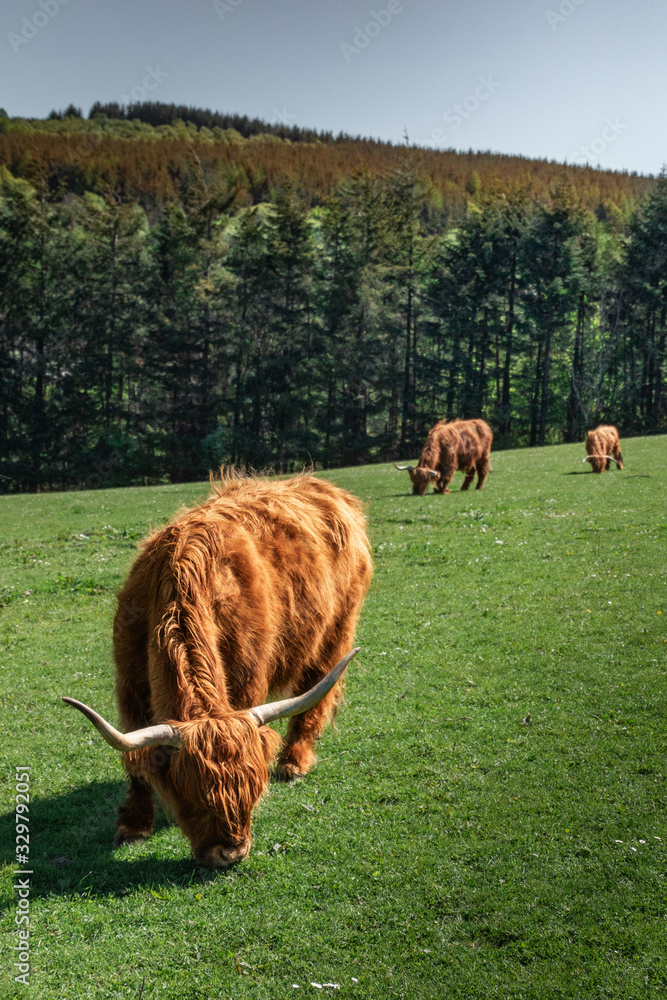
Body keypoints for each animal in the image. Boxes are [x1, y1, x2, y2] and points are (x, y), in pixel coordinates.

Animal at [63, 474, 372, 868]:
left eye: (253, 791)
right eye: (196, 798)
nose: (232, 853)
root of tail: (321, 485)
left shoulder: (247, 682)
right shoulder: (130, 689)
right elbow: (135, 759)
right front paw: (134, 826)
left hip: (336, 631)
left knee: (315, 693)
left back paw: (294, 763)